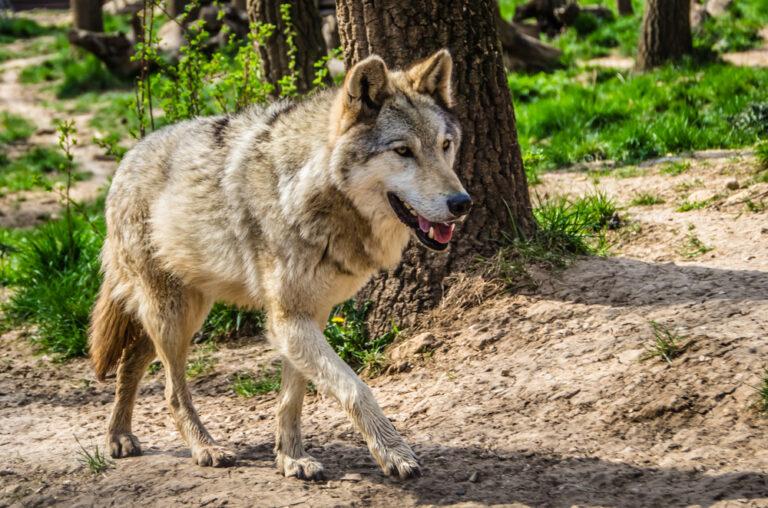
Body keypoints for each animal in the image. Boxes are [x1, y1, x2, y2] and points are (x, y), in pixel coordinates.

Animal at [88, 49, 472, 481]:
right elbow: (356, 388)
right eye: (403, 151)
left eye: (445, 146)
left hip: (188, 310)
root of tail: (127, 158)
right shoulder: (287, 318)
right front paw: (392, 452)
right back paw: (204, 447)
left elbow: (294, 397)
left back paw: (119, 436)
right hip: (175, 317)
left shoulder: (310, 316)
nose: (462, 203)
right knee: (171, 388)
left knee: (131, 361)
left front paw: (291, 457)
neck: (309, 192)